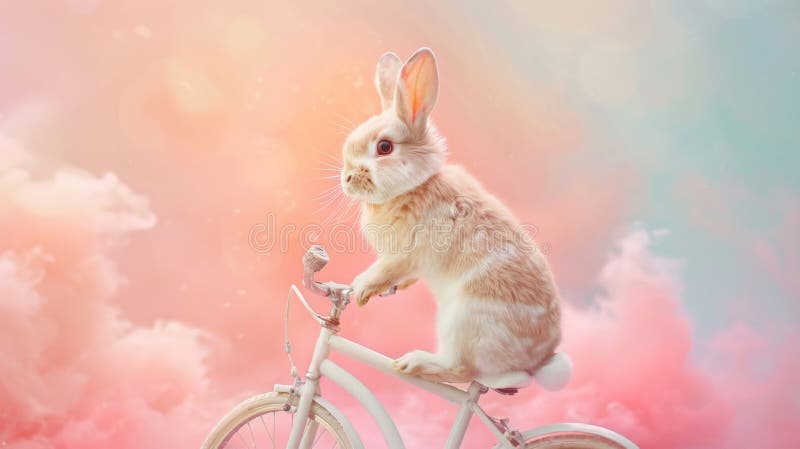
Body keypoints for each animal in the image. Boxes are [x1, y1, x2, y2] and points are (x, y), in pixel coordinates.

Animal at [340, 48, 563, 385]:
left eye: (384, 147)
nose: (348, 178)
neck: (415, 186)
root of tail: (538, 360)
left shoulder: (405, 254)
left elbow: (384, 271)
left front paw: (361, 288)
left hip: (462, 322)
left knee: (461, 369)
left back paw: (414, 363)